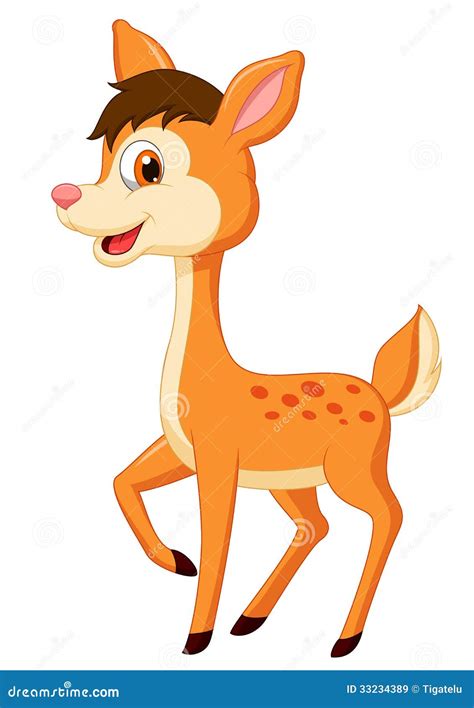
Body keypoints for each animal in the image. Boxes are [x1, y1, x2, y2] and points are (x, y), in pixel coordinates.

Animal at [51, 19, 441, 657]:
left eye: (147, 166)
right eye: (104, 155)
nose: (64, 195)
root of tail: (383, 396)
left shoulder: (217, 461)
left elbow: (218, 543)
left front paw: (196, 635)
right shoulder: (178, 451)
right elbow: (121, 481)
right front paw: (174, 562)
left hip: (353, 469)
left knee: (390, 515)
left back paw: (344, 638)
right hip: (297, 481)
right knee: (316, 526)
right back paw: (252, 619)